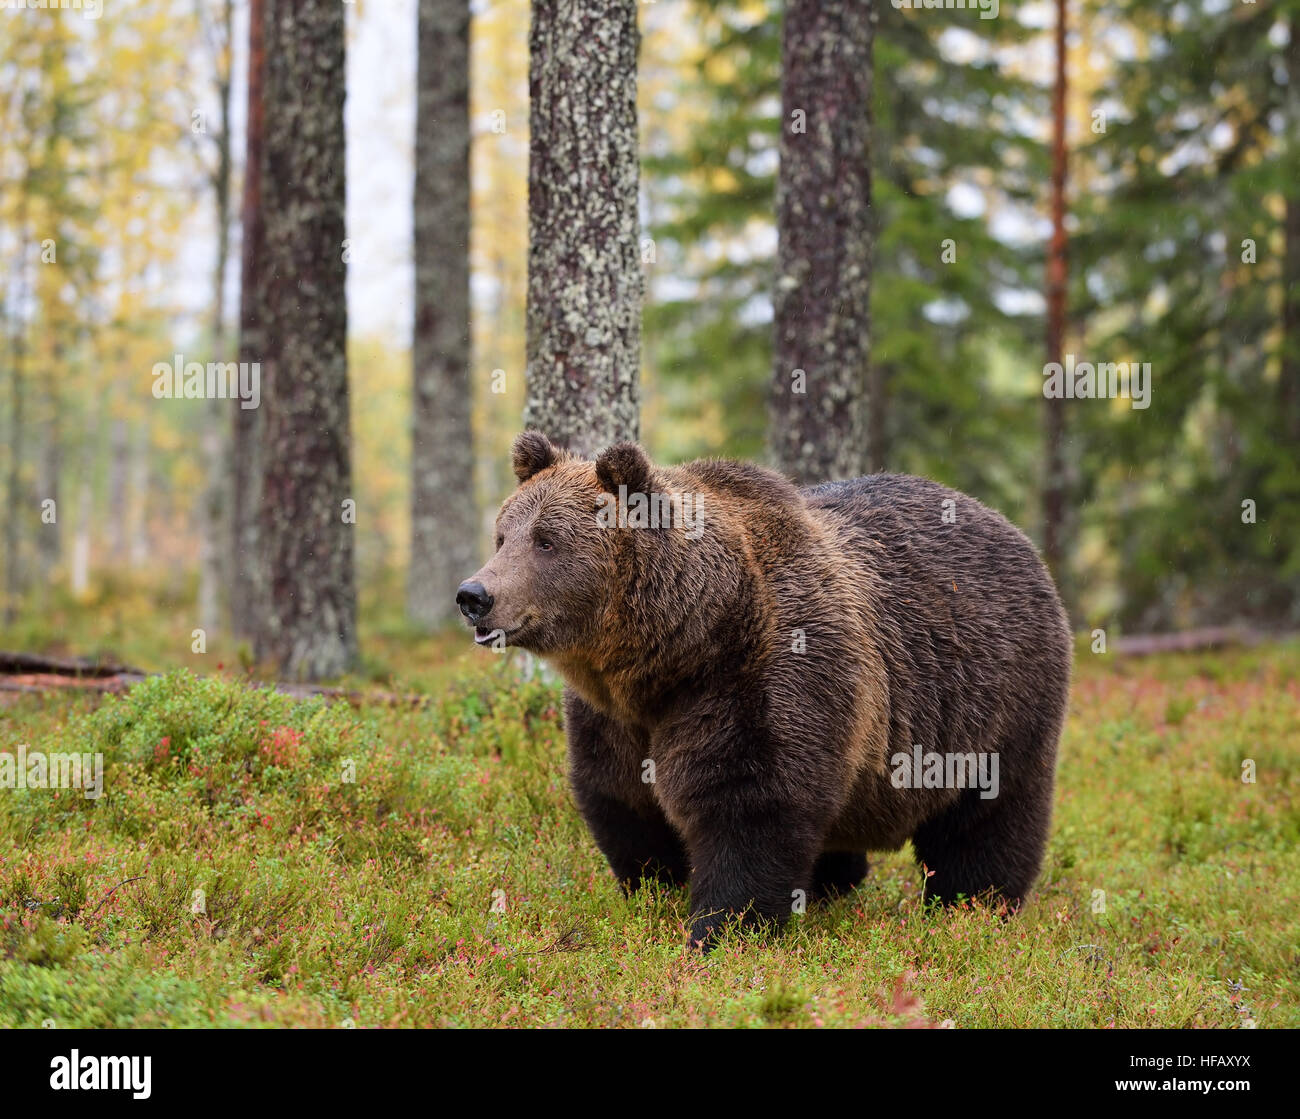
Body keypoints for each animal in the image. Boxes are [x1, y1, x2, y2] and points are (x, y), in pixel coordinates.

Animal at [457, 431, 1072, 949]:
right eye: (504, 534)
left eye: (546, 541)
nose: (474, 594)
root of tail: (1014, 534)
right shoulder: (612, 716)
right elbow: (621, 797)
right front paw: (655, 893)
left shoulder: (763, 679)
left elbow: (751, 805)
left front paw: (720, 930)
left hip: (996, 699)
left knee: (990, 813)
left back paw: (973, 905)